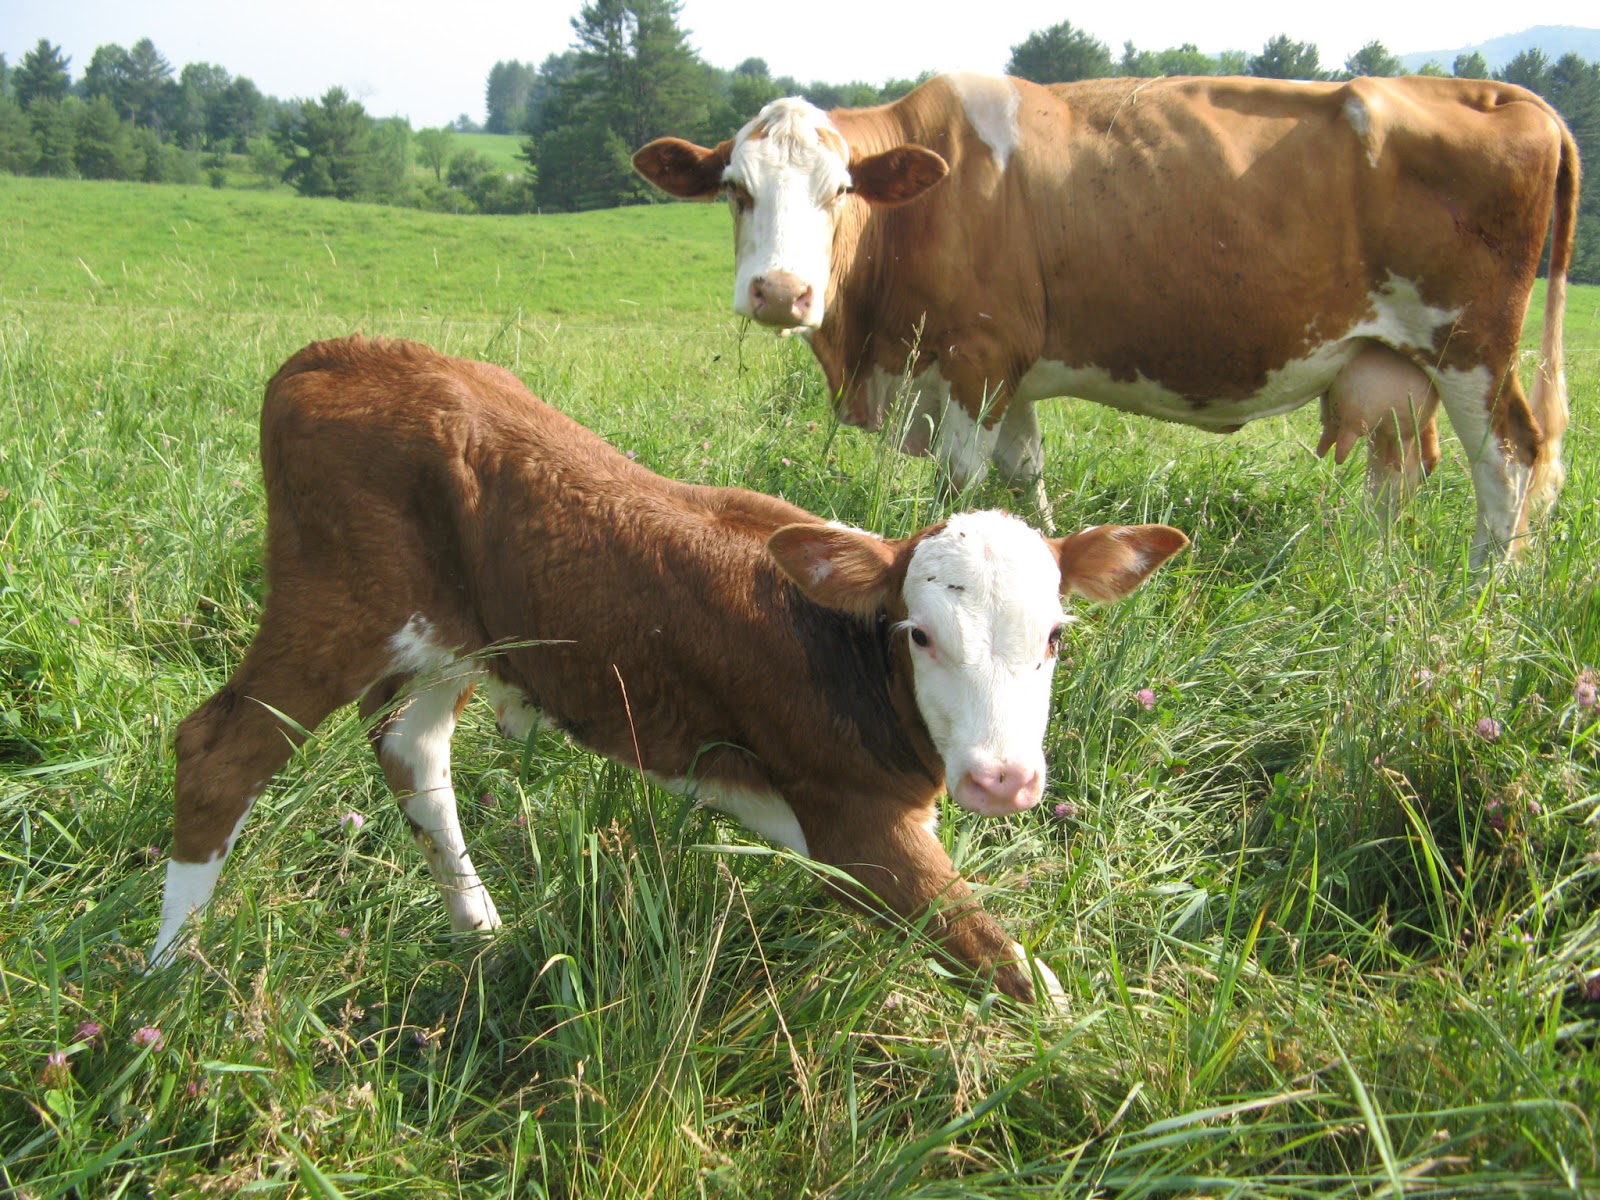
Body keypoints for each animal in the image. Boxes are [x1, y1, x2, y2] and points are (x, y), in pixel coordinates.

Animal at [149, 336, 1187, 1007]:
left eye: (1054, 636)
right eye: (920, 634)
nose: (1004, 780)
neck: (842, 651)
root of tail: (336, 351)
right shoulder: (855, 819)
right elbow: (1014, 969)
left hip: (460, 635)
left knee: (412, 749)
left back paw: (479, 931)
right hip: (337, 603)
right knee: (217, 753)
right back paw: (164, 987)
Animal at [632, 72, 1579, 564]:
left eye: (840, 192)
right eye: (734, 189)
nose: (780, 292)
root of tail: (1498, 92)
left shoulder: (975, 357)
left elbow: (958, 488)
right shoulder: (1004, 369)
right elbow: (1025, 476)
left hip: (1472, 345)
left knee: (1509, 464)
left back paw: (1482, 588)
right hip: (1396, 361)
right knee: (1402, 469)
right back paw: (1368, 569)